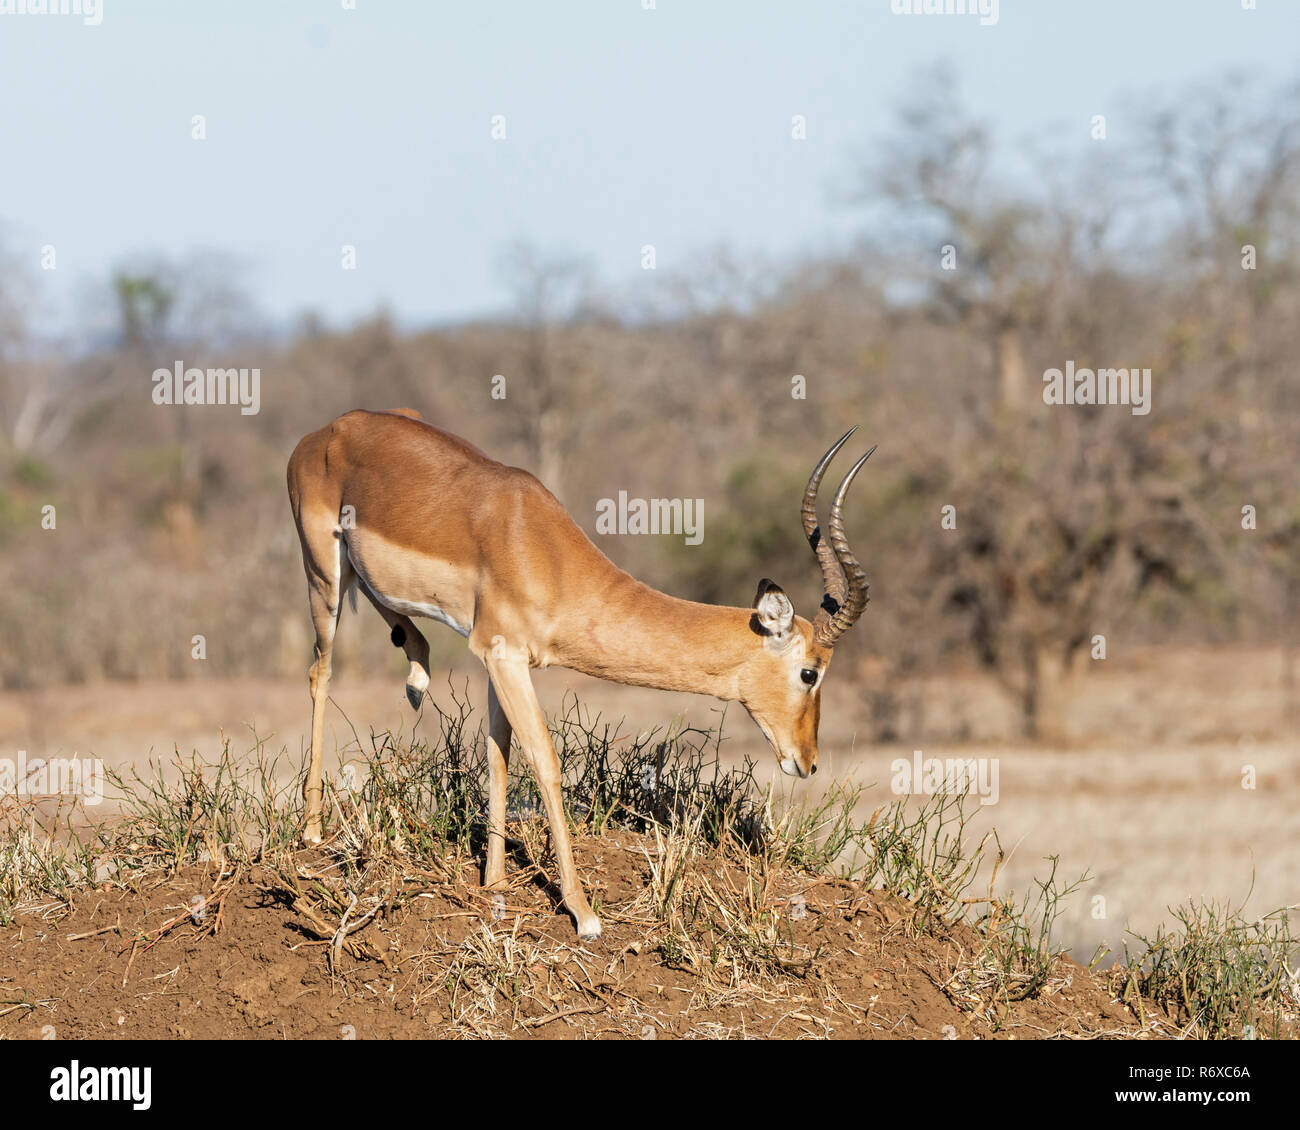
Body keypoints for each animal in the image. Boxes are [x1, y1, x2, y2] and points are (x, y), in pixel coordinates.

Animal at [287, 409, 874, 940]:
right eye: (810, 673)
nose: (808, 762)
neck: (545, 553)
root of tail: (324, 432)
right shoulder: (505, 656)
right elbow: (545, 762)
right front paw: (583, 912)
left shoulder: (497, 658)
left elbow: (498, 753)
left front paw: (494, 884)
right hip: (322, 575)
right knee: (320, 671)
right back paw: (312, 831)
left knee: (380, 608)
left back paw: (417, 670)